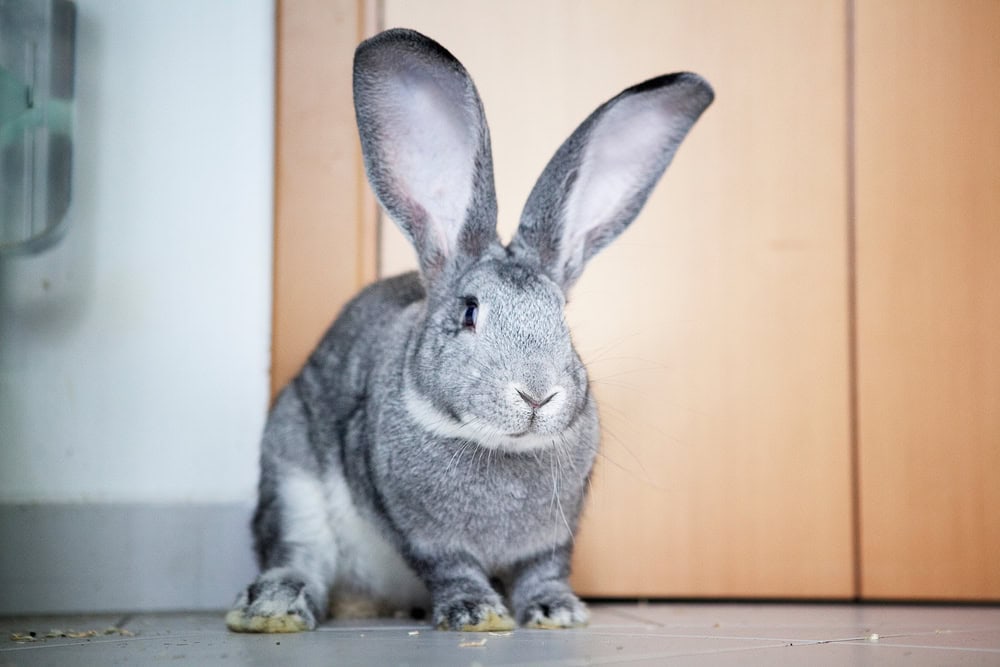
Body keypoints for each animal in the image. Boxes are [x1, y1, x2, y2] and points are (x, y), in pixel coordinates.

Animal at [226, 27, 713, 634]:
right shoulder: (425, 535)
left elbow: (543, 570)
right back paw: (274, 608)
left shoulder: (554, 537)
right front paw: (477, 615)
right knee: (297, 554)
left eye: (562, 317)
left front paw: (558, 612)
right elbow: (452, 569)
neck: (499, 446)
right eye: (469, 313)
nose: (537, 394)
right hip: (292, 476)